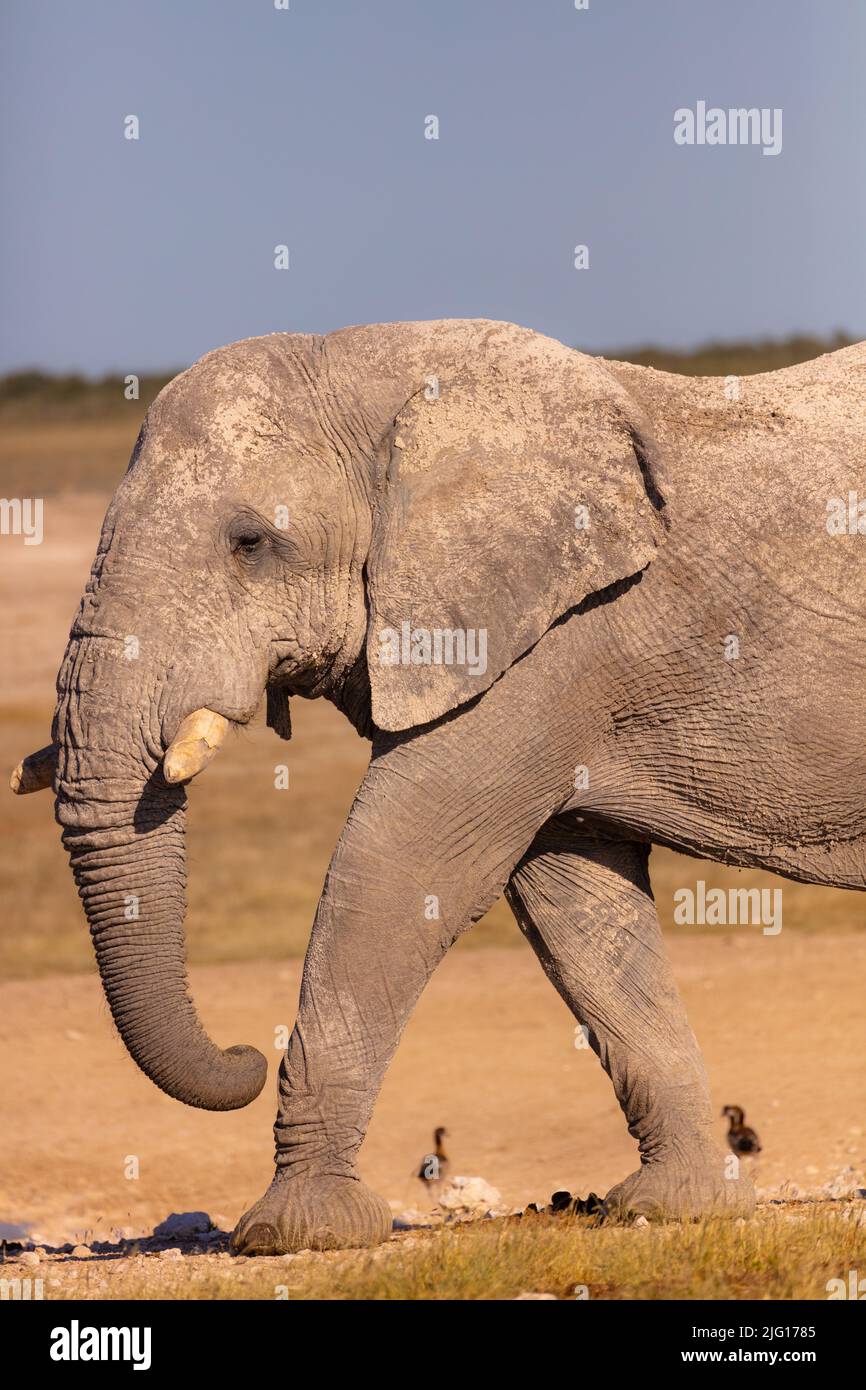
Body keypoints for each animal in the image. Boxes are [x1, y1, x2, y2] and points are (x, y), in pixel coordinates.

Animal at [12, 318, 866, 1254]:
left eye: (250, 542)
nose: (244, 1055)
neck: (365, 365)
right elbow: (575, 906)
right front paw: (670, 1209)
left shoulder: (552, 647)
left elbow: (398, 868)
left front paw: (293, 1233)